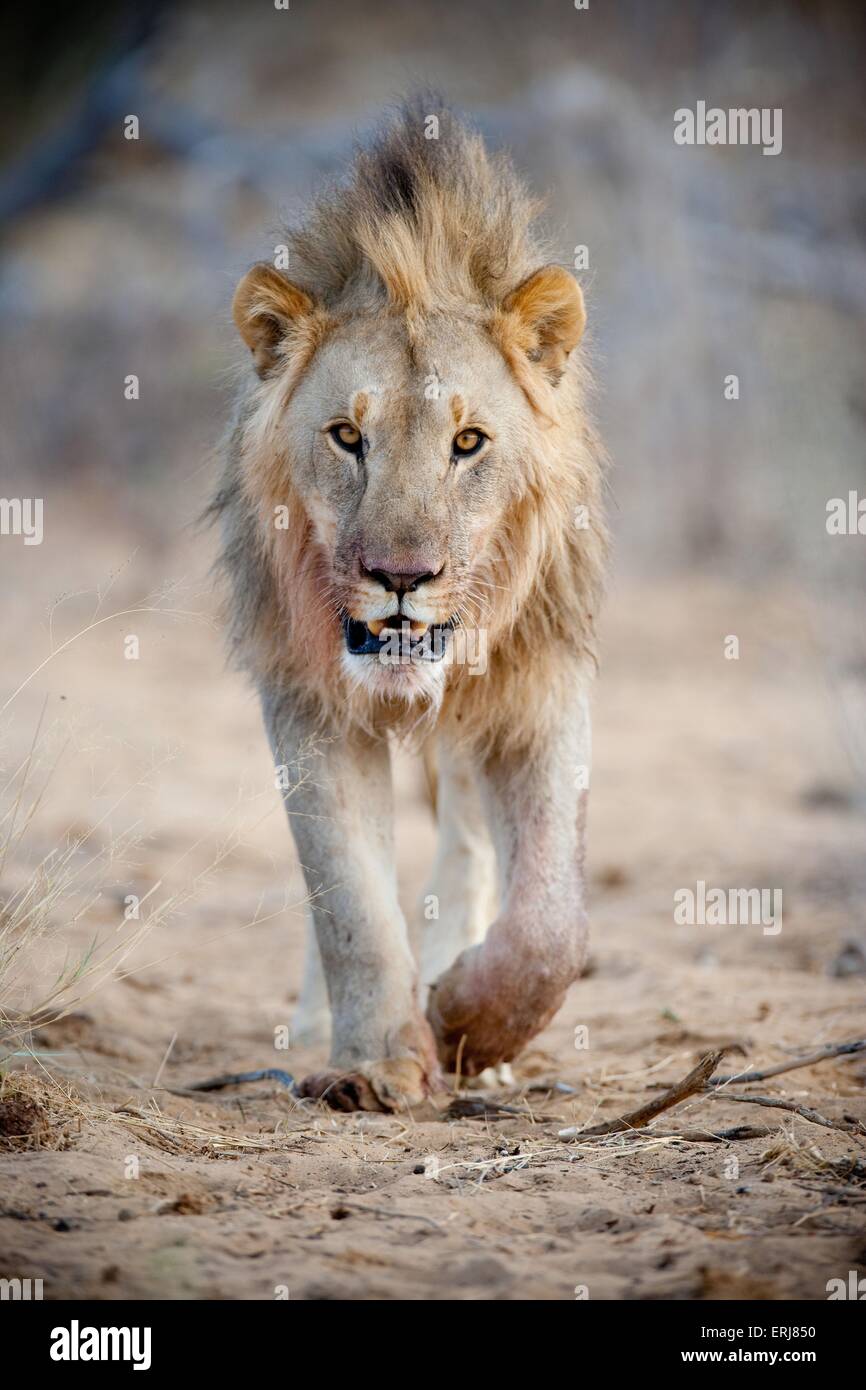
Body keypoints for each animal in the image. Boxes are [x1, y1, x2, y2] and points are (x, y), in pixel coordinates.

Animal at [211, 99, 607, 1111]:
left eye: (469, 443)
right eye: (347, 436)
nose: (401, 574)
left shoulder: (542, 684)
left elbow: (552, 924)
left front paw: (466, 1021)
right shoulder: (305, 698)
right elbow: (348, 897)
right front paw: (375, 1064)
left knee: (469, 845)